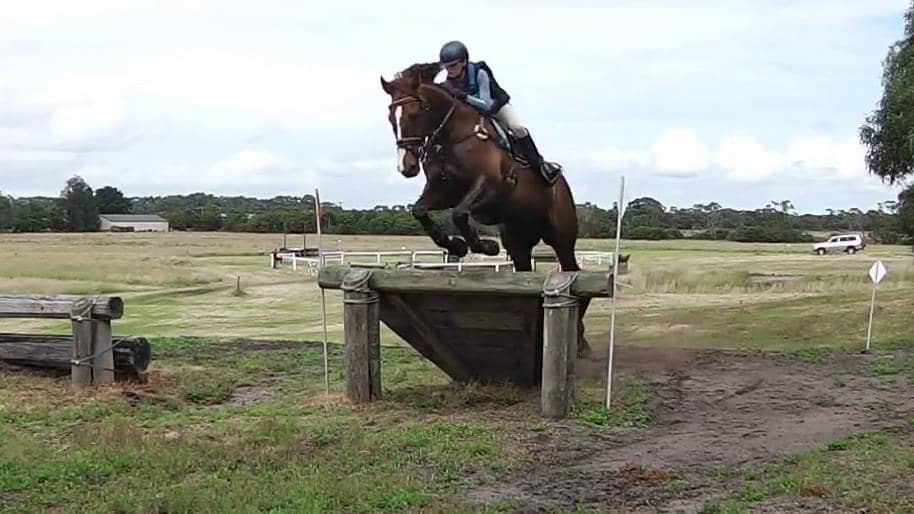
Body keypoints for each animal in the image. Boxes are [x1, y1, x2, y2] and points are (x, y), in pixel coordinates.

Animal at [379, 63, 595, 356]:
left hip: (560, 235)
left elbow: (460, 214)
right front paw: (456, 245)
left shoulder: (492, 187)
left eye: (414, 113)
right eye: (391, 118)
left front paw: (485, 247)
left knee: (573, 269)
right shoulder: (443, 191)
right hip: (517, 240)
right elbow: (420, 210)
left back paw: (580, 336)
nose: (407, 167)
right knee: (526, 269)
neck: (452, 137)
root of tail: (562, 184)